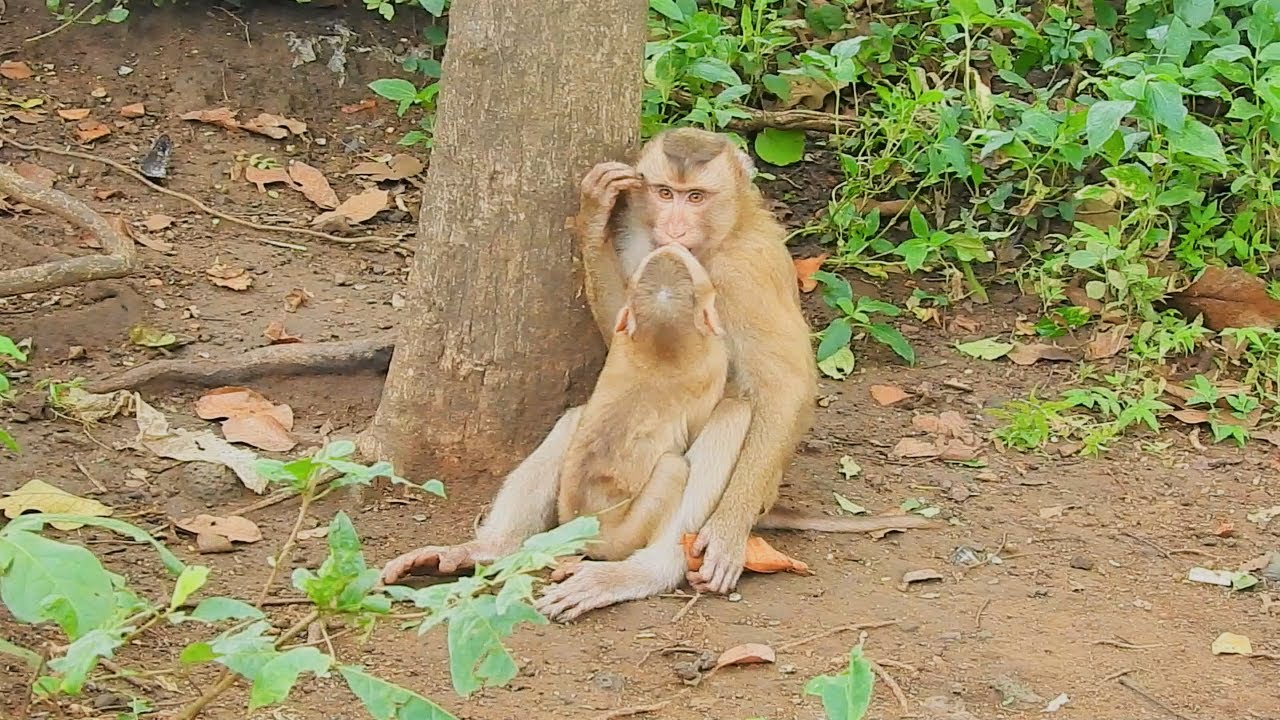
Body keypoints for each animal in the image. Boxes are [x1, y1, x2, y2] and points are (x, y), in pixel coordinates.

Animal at [555, 242, 740, 563]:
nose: (672, 244)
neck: (660, 350)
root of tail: (586, 529)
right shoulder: (715, 361)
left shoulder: (622, 342)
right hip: (621, 537)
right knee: (673, 466)